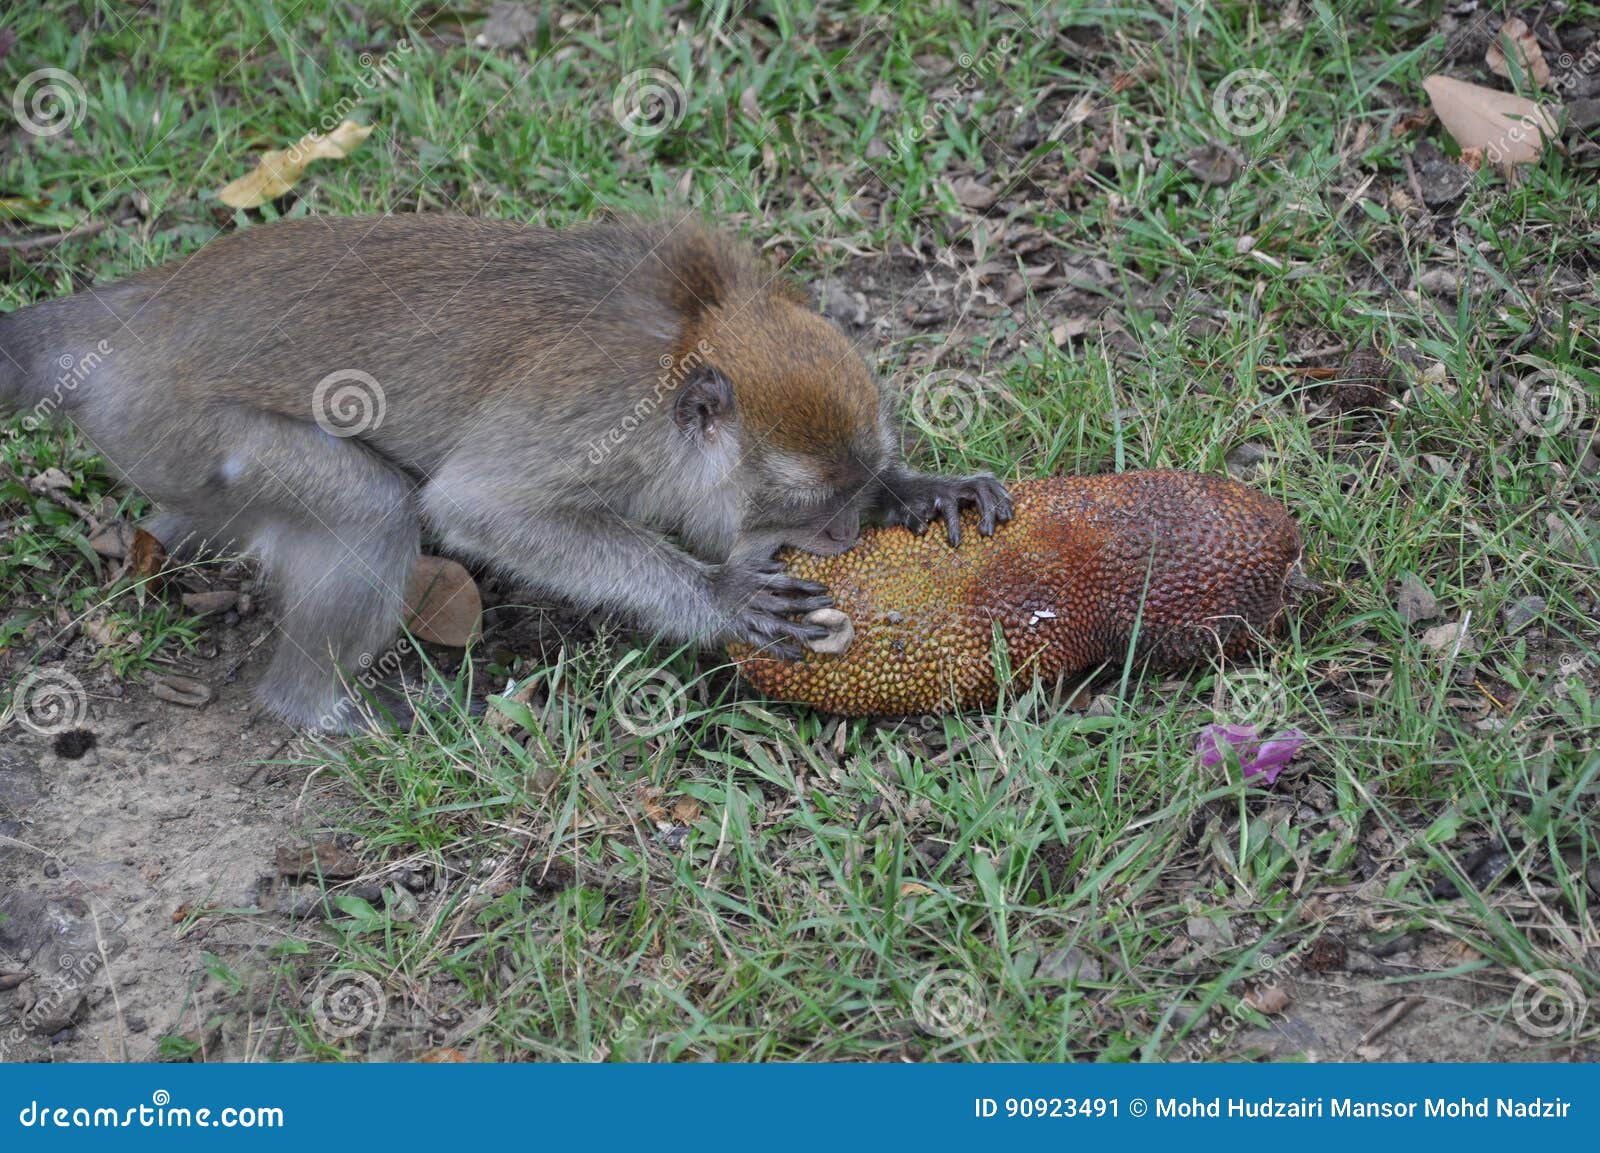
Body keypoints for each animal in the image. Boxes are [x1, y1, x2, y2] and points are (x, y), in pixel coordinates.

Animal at [0, 215, 1011, 731]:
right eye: (810, 504)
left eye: (853, 495)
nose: (844, 533)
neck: (691, 340)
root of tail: (136, 314)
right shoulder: (602, 420)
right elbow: (477, 505)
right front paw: (719, 596)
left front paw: (923, 492)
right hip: (177, 425)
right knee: (376, 506)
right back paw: (311, 709)